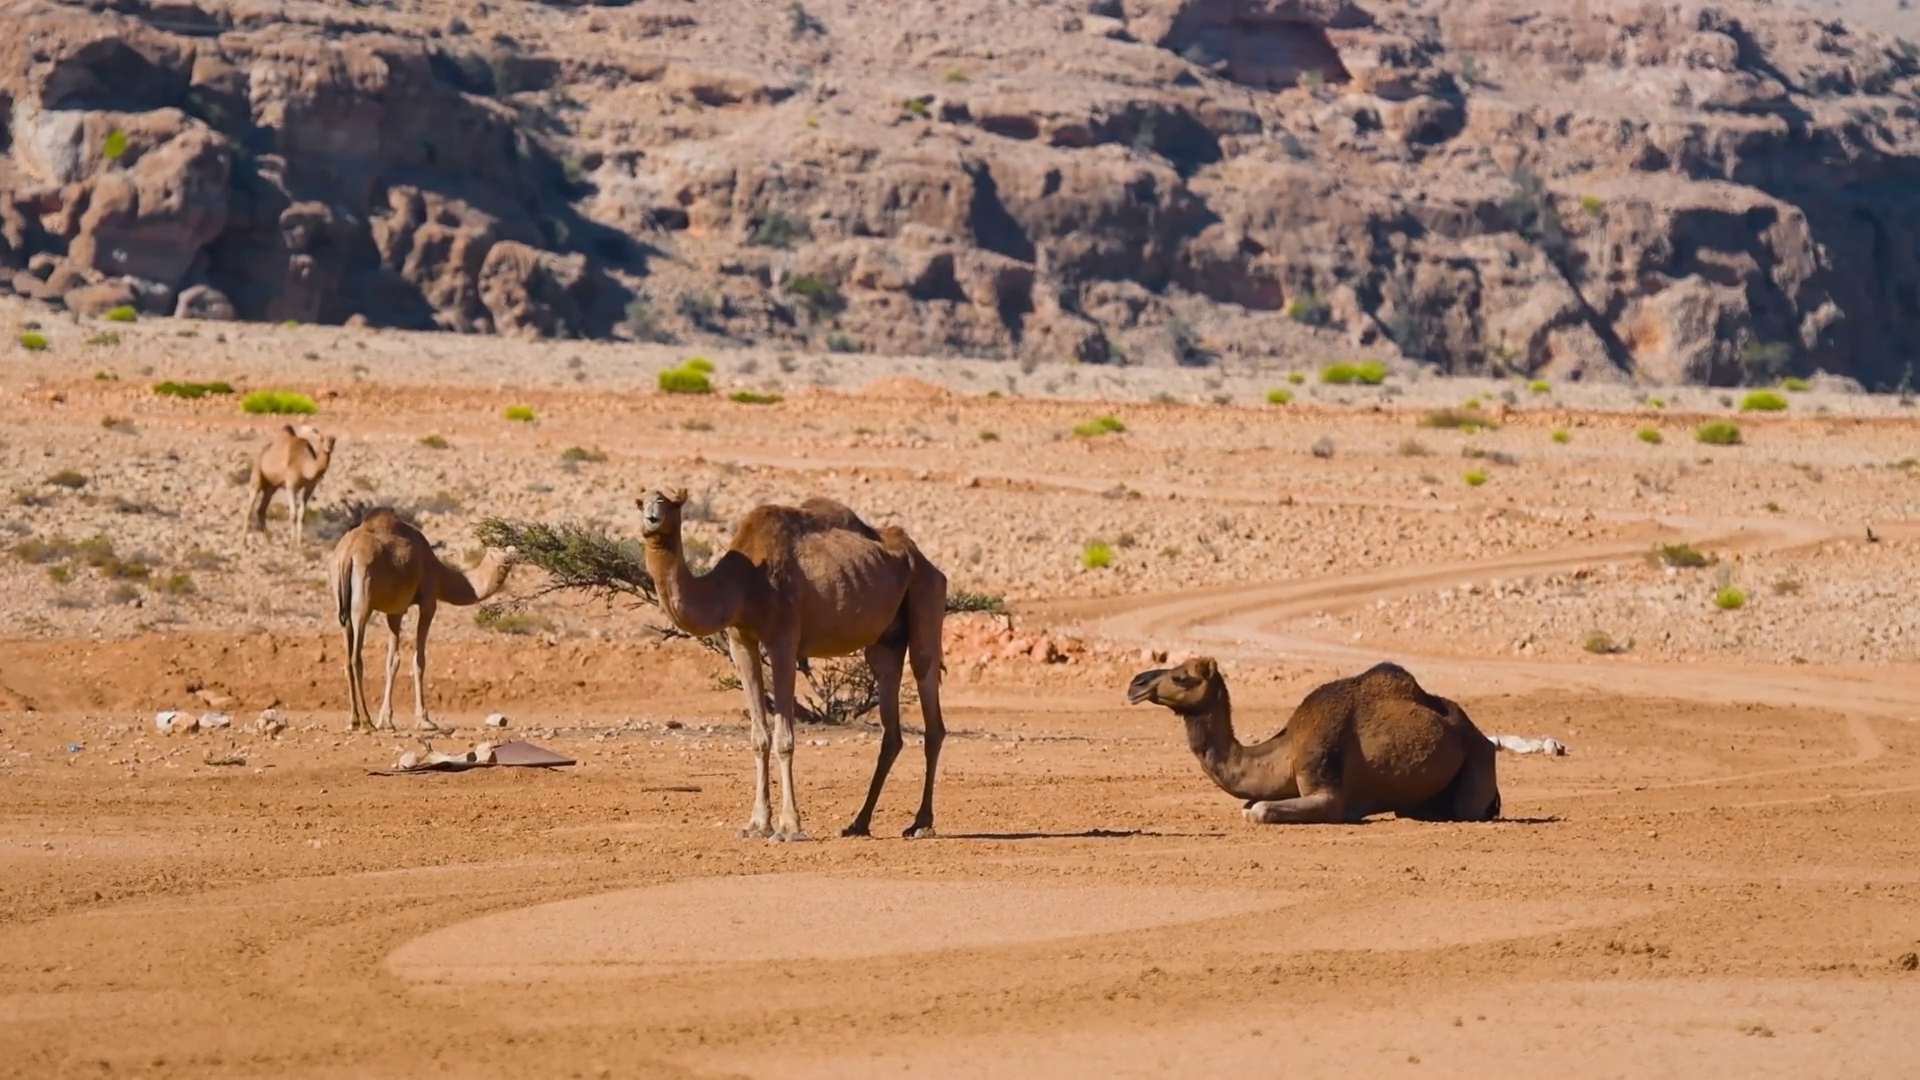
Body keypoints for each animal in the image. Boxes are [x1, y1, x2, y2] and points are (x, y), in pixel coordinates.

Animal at [328, 507, 518, 733]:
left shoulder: (395, 611)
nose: (515, 550)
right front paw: (425, 720)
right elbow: (419, 659)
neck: (438, 571)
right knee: (356, 657)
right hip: (362, 604)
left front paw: (386, 720)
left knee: (347, 657)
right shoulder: (428, 601)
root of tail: (347, 555)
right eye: (501, 547)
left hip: (342, 605)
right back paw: (366, 721)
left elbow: (392, 660)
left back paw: (353, 720)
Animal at [638, 487, 948, 843]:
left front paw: (790, 827)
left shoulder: (783, 639)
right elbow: (759, 737)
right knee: (890, 721)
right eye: (642, 500)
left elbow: (785, 738)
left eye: (669, 502)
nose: (651, 518)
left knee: (929, 694)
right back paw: (858, 823)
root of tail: (924, 560)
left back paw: (921, 822)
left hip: (926, 594)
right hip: (886, 640)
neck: (744, 582)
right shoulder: (740, 640)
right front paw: (756, 825)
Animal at [1126, 657, 1501, 825]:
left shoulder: (1327, 787)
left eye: (1181, 677)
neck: (1287, 747)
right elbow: (1248, 806)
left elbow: (1259, 810)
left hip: (1479, 761)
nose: (1135, 683)